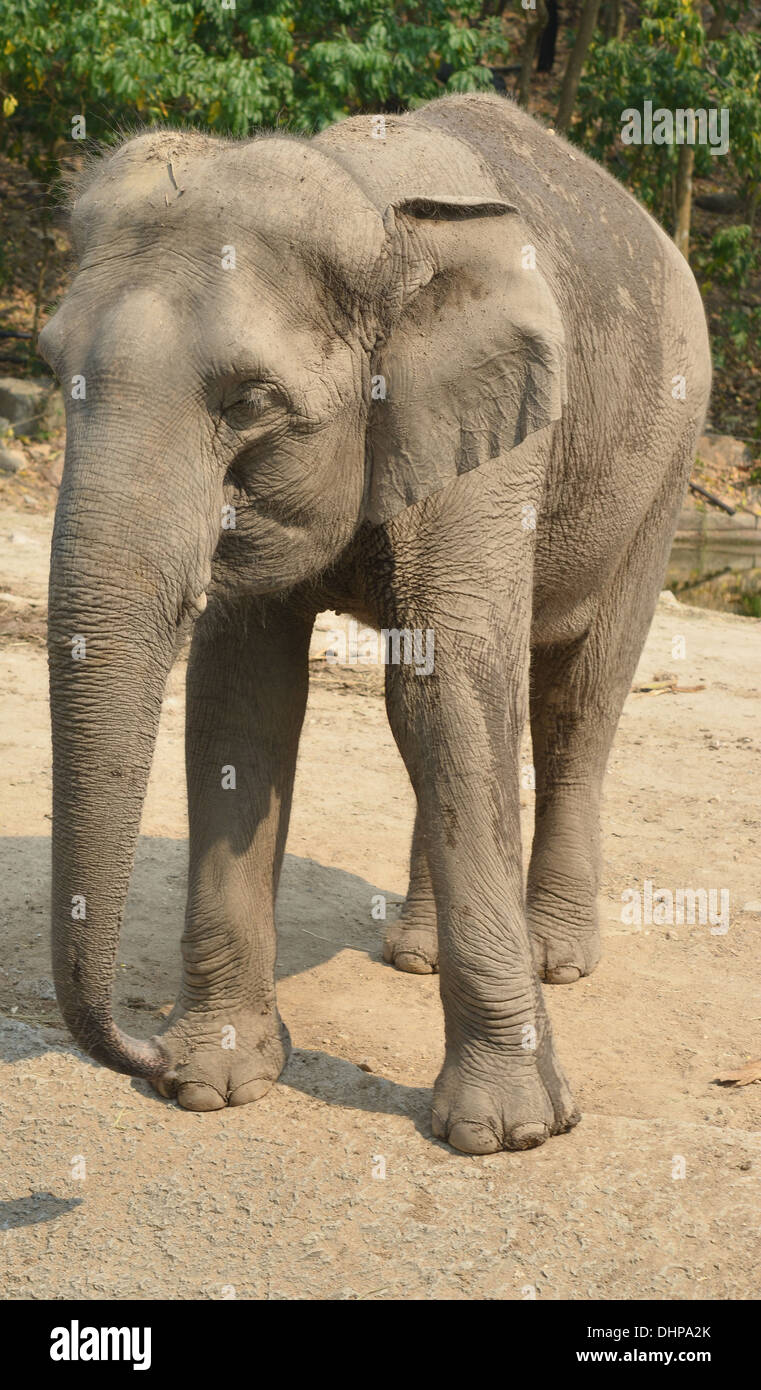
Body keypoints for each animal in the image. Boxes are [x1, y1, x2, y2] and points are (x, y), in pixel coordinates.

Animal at [40, 92, 711, 1154]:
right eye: (47, 366)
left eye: (250, 401)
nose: (141, 1051)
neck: (369, 207)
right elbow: (244, 698)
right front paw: (214, 1083)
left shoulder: (494, 437)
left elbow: (449, 686)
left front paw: (508, 1134)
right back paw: (415, 952)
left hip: (665, 466)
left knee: (577, 694)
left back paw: (559, 959)